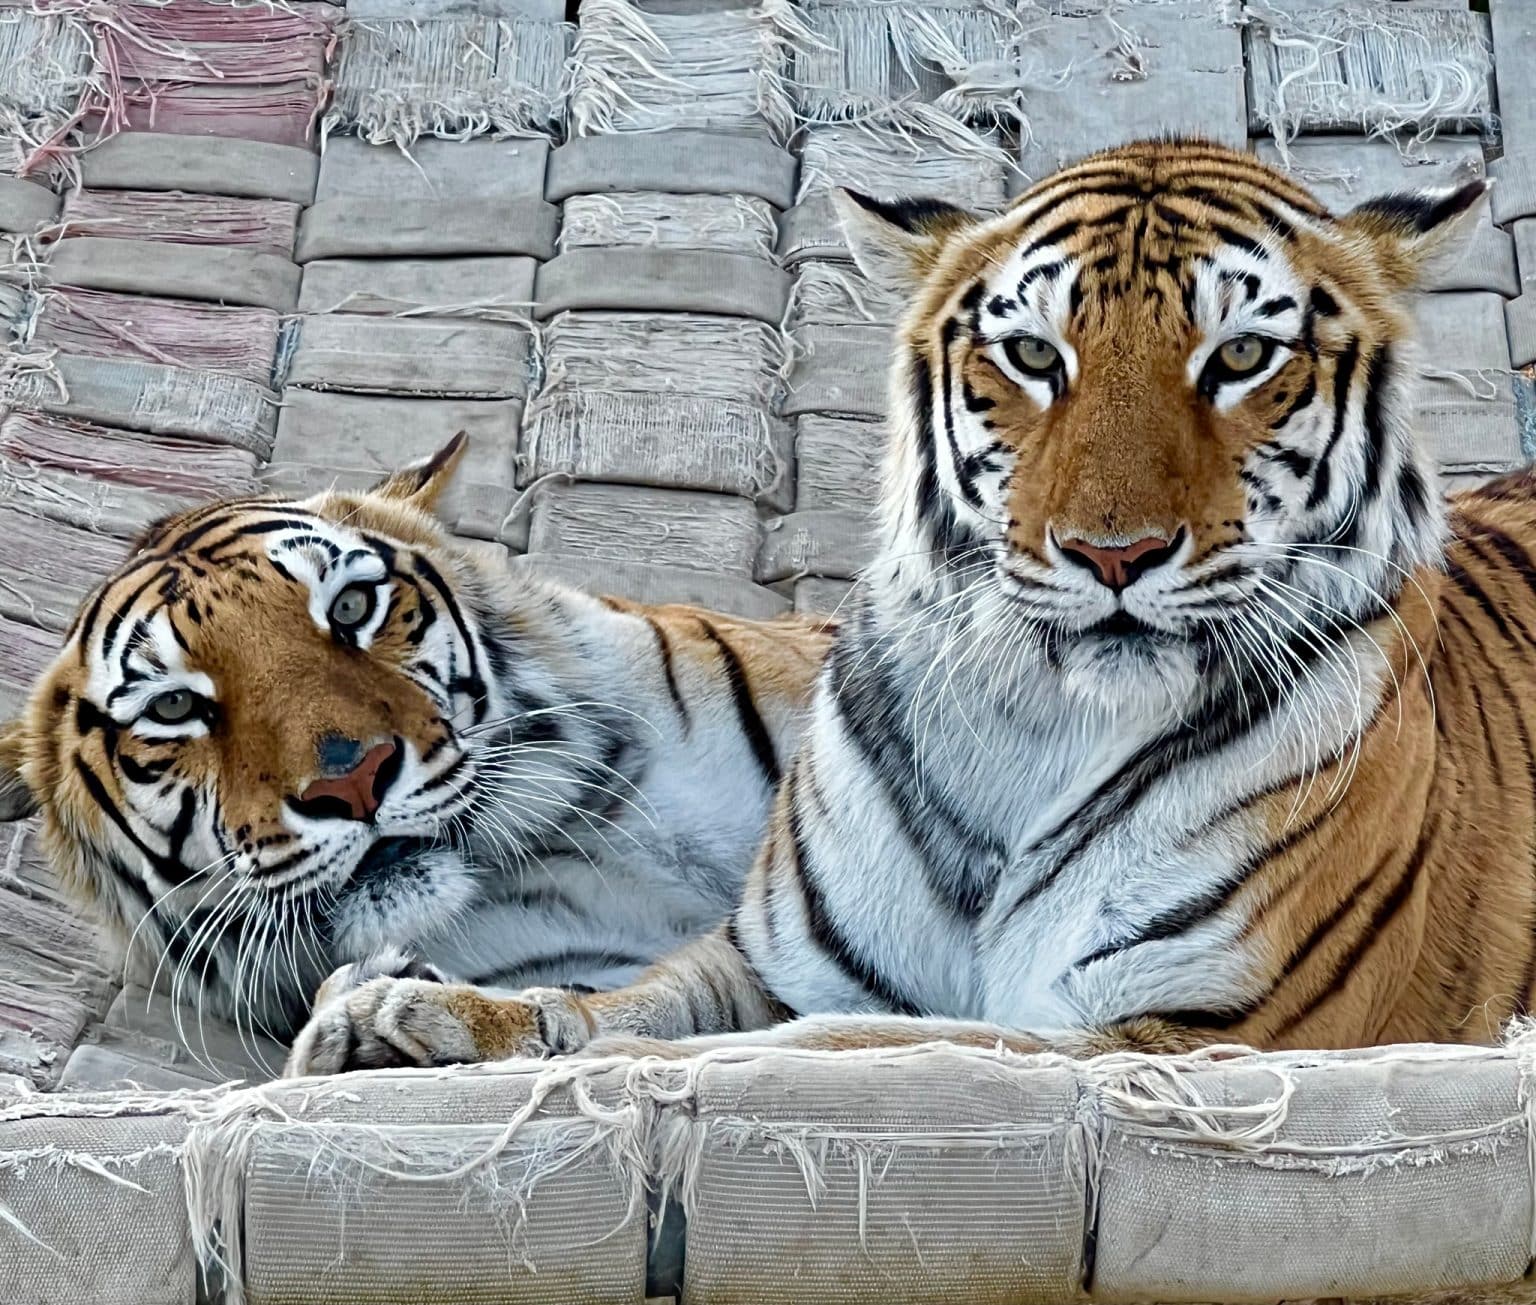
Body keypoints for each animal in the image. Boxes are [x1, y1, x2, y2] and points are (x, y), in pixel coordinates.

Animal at [281, 135, 1530, 1078]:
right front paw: (404, 1019)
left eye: (1242, 358)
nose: (1113, 555)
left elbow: (845, 1049)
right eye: (1033, 355)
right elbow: (632, 1007)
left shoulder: (1201, 1034)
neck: (1037, 727)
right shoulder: (774, 962)